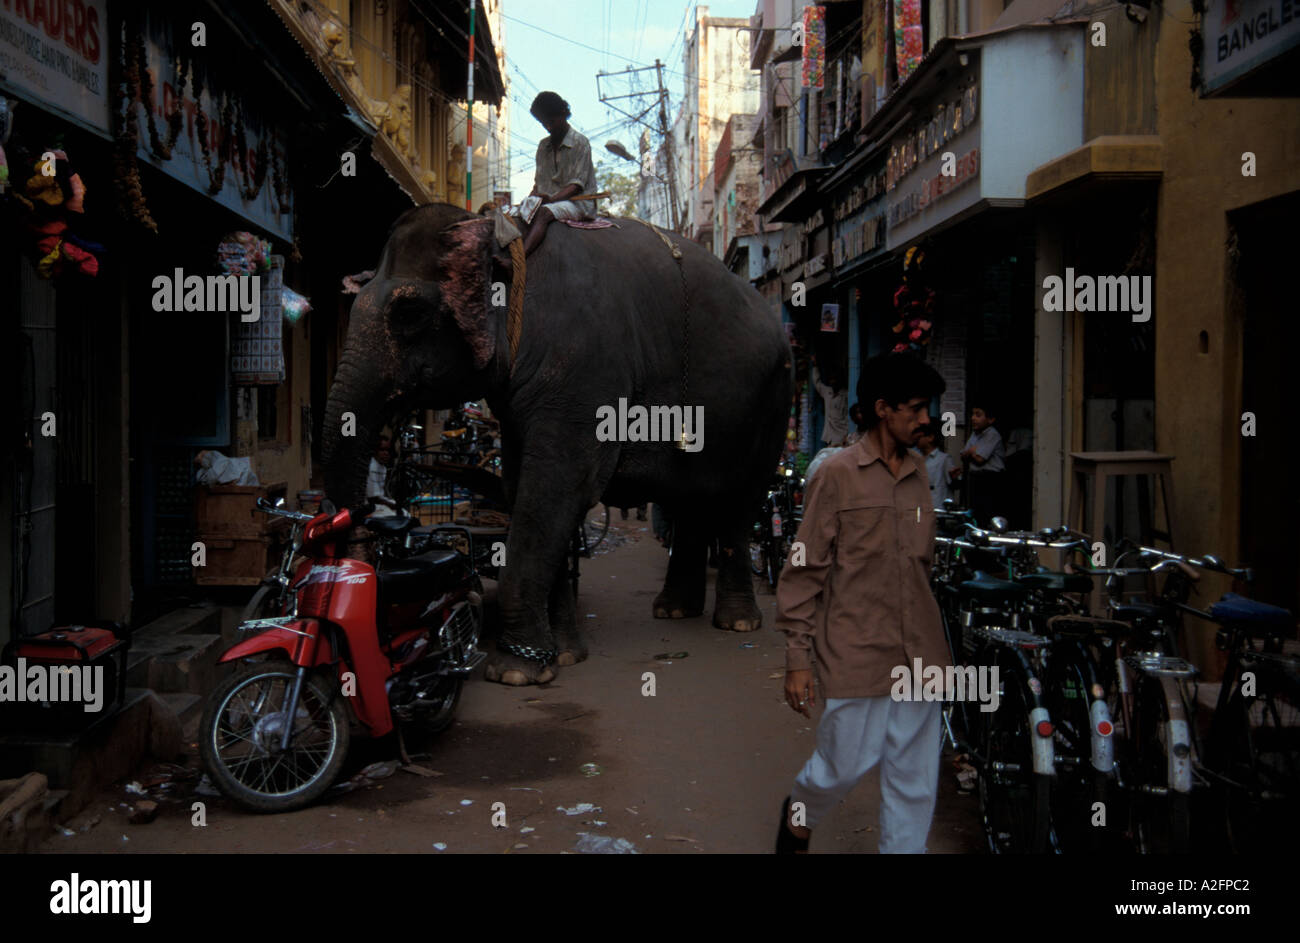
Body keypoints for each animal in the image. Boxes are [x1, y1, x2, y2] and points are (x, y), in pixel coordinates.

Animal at [322, 203, 791, 685]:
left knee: (738, 500)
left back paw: (737, 622)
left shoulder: (585, 371)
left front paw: (514, 672)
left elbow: (556, 487)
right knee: (689, 500)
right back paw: (674, 611)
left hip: (774, 398)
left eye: (409, 311)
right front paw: (561, 656)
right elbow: (523, 489)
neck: (512, 241)